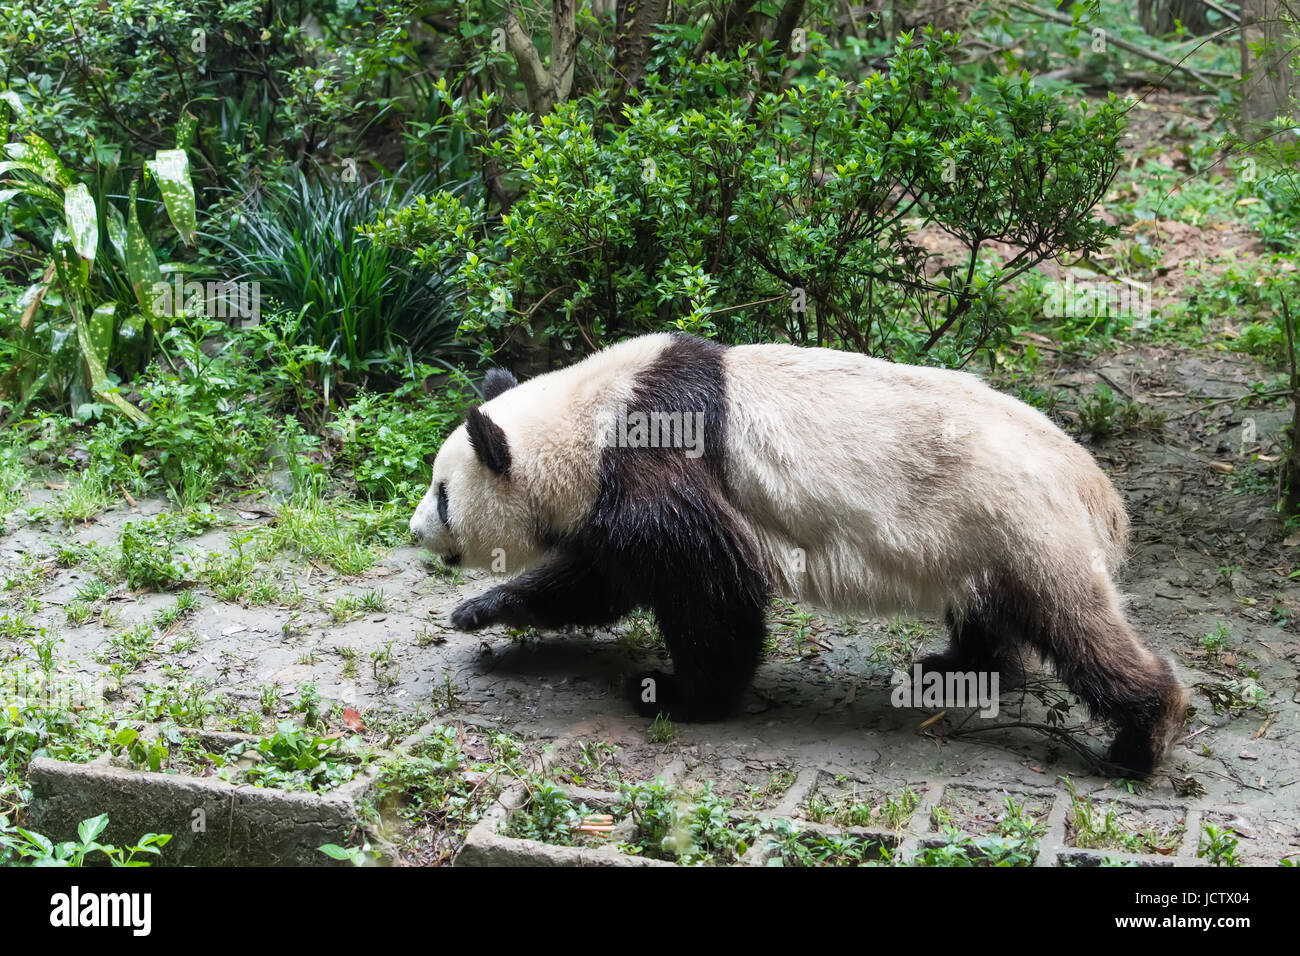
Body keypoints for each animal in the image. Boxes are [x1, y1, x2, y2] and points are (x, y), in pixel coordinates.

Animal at [409, 332, 1187, 775]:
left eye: (442, 494)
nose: (417, 533)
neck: (590, 415)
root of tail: (1096, 488)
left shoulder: (654, 460)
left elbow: (707, 590)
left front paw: (672, 693)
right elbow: (600, 580)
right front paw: (481, 611)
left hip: (1020, 523)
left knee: (1078, 628)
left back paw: (1141, 739)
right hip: (982, 540)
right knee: (989, 608)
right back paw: (959, 669)